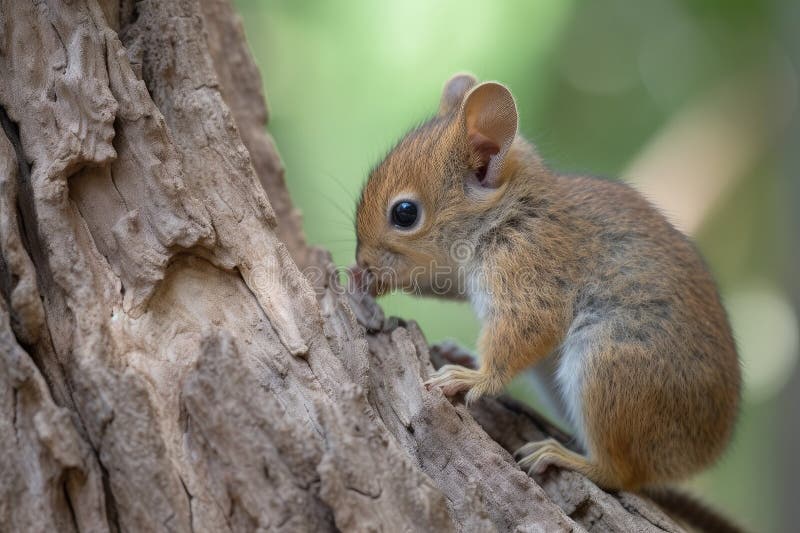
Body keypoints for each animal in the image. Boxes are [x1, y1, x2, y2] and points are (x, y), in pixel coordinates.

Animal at [353, 73, 743, 529]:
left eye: (404, 213)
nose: (361, 263)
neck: (511, 211)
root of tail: (693, 457)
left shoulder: (531, 269)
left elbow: (525, 329)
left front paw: (473, 378)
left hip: (609, 365)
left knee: (622, 473)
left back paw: (568, 458)